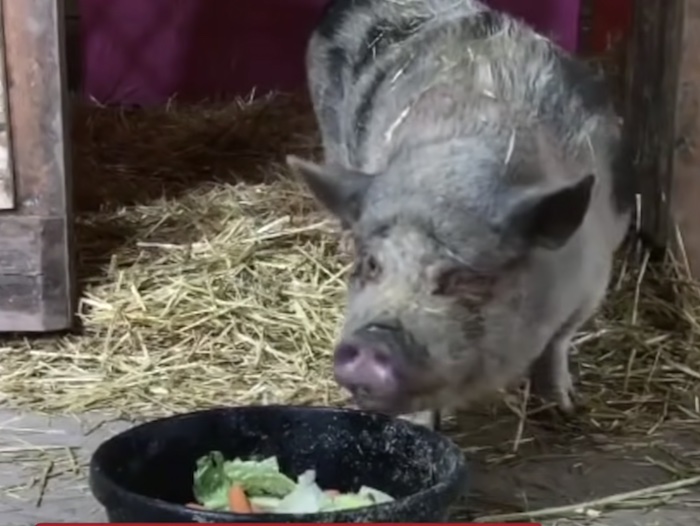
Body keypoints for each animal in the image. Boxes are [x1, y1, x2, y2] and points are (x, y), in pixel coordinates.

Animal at [287, 0, 635, 429]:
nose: (372, 342)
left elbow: (557, 343)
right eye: (371, 264)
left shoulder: (594, 279)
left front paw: (564, 409)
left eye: (464, 278)